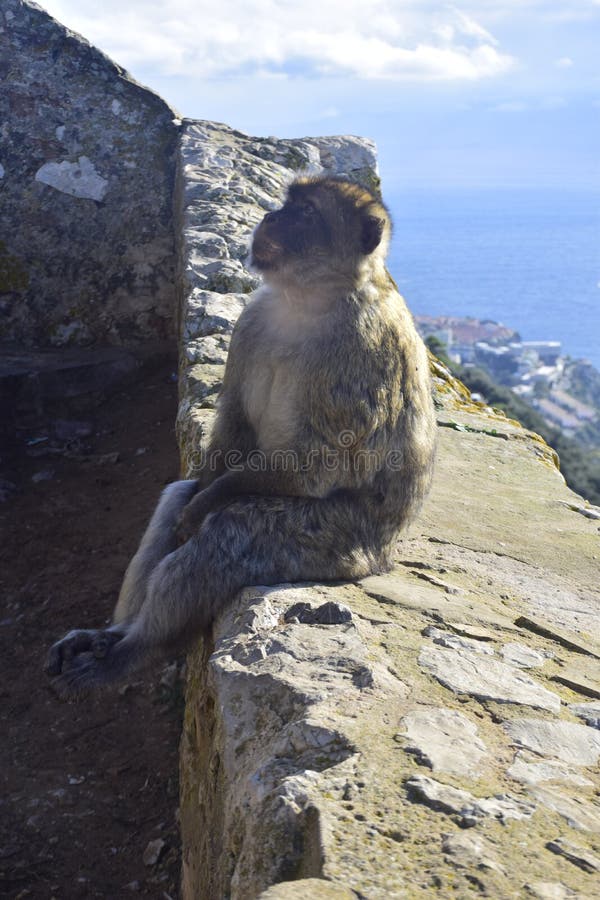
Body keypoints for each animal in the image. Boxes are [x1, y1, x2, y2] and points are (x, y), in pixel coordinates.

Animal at [45, 176, 437, 699]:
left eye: (306, 212)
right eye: (288, 201)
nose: (272, 216)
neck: (308, 296)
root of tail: (381, 557)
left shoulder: (358, 346)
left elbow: (316, 467)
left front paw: (206, 506)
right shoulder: (253, 318)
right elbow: (233, 429)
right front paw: (197, 496)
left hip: (333, 540)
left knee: (233, 530)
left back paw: (138, 649)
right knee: (177, 497)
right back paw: (114, 634)